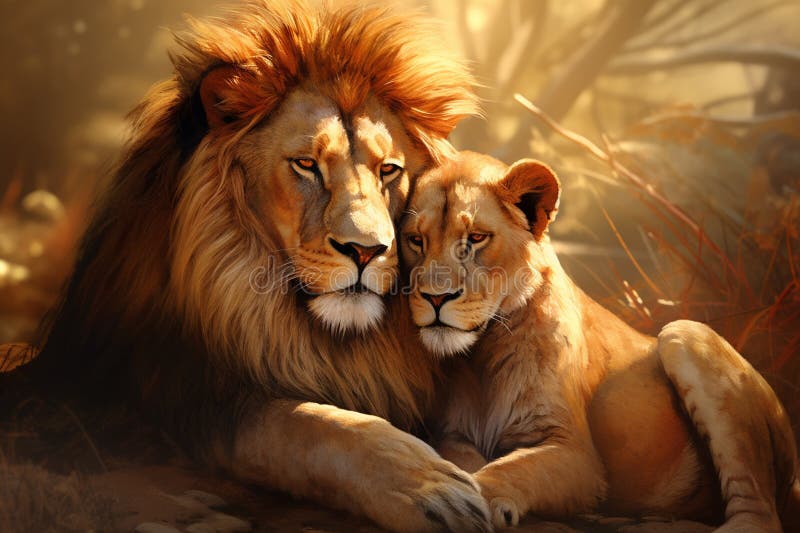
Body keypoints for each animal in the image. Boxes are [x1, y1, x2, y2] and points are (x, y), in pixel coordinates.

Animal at [0, 3, 495, 532]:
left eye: (389, 170)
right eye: (306, 164)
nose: (367, 250)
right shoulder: (190, 397)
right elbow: (310, 425)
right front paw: (434, 491)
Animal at [399, 150, 800, 531]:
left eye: (476, 238)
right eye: (416, 240)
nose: (435, 298)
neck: (483, 354)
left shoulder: (578, 455)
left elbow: (507, 470)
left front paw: (468, 502)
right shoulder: (452, 433)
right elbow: (459, 459)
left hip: (686, 331)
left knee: (762, 511)